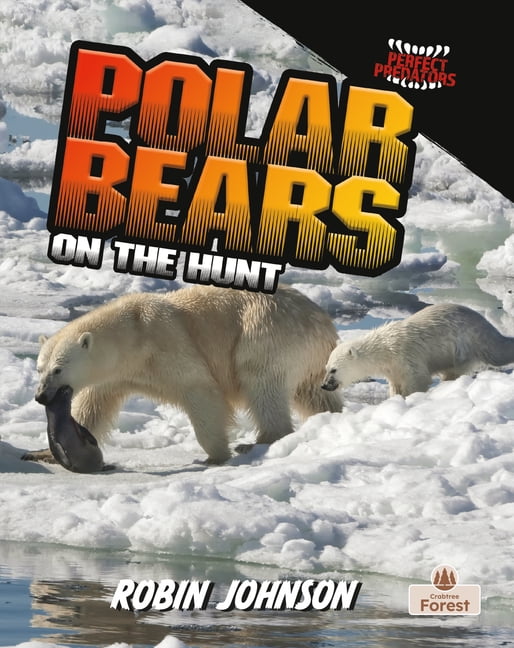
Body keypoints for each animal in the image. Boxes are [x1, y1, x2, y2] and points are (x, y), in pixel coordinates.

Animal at [32, 284, 342, 465]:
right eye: (39, 368)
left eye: (58, 369)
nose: (41, 396)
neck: (132, 334)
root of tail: (324, 323)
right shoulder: (115, 373)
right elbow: (94, 403)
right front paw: (47, 452)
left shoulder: (167, 344)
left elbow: (201, 390)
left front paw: (215, 456)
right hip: (311, 359)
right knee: (313, 393)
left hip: (264, 333)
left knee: (262, 382)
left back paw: (258, 441)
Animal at [321, 302, 514, 398]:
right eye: (326, 368)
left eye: (334, 369)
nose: (324, 385)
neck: (385, 349)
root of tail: (485, 324)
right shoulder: (392, 369)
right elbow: (395, 385)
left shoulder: (406, 356)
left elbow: (417, 379)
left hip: (461, 347)